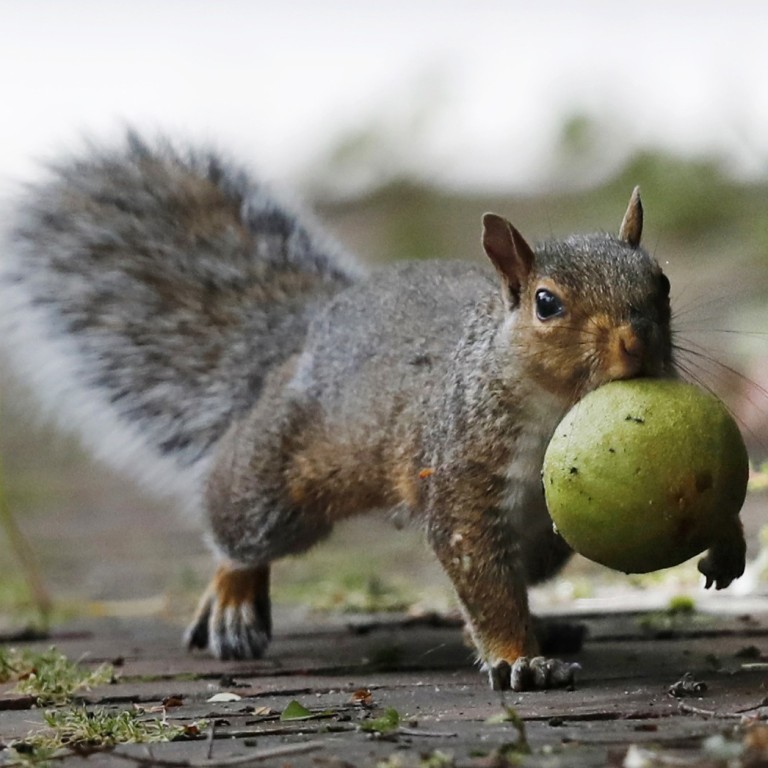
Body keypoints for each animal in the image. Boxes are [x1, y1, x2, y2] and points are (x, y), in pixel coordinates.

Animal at [0, 132, 746, 691]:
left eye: (662, 282)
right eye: (546, 303)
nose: (638, 341)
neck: (556, 404)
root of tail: (307, 333)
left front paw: (727, 541)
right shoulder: (465, 467)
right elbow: (476, 567)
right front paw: (517, 659)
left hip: (545, 542)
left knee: (524, 574)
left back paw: (551, 625)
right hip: (278, 482)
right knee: (235, 525)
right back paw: (233, 598)